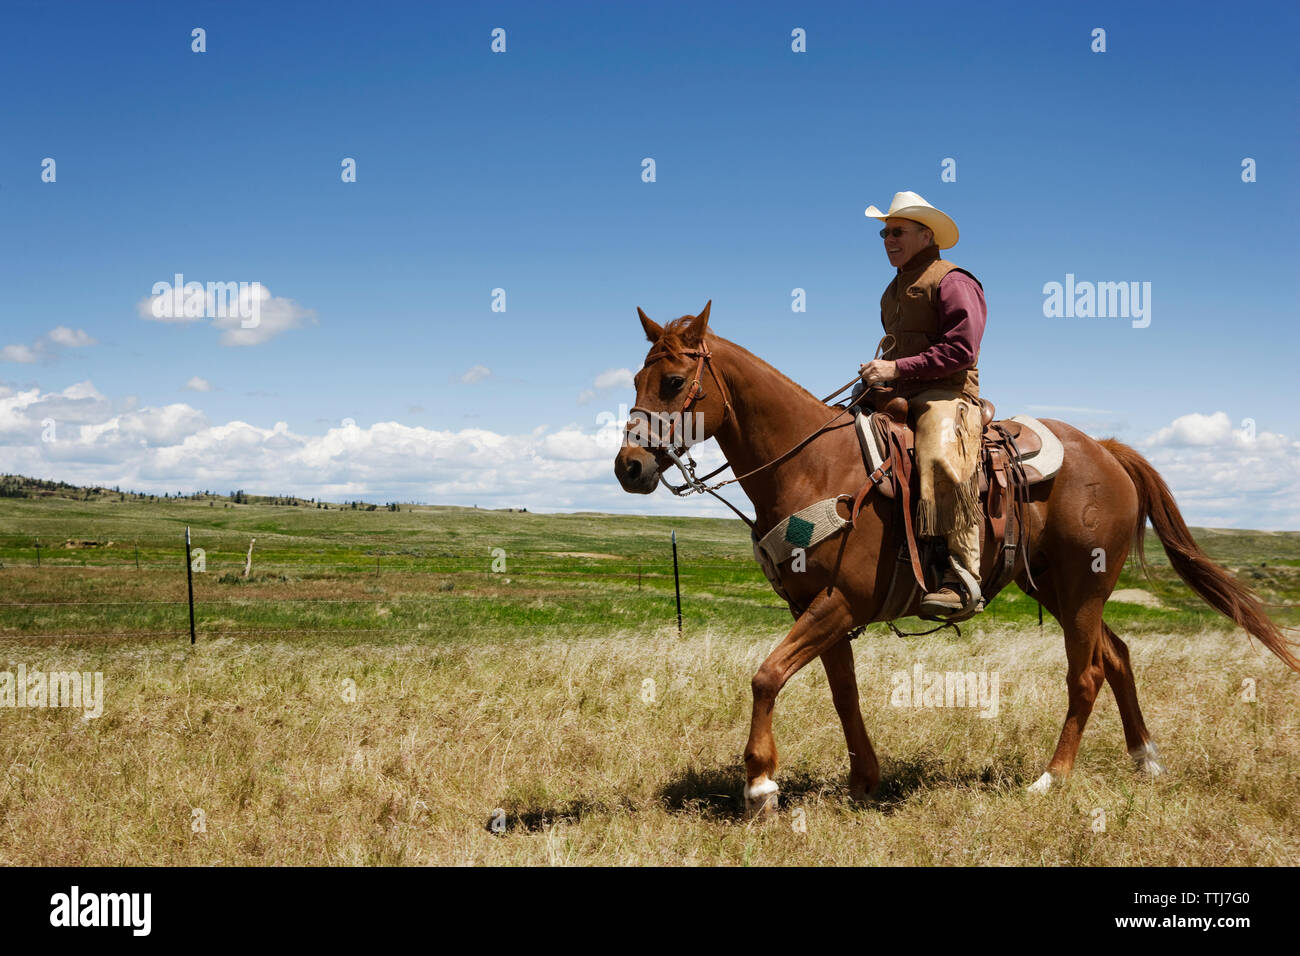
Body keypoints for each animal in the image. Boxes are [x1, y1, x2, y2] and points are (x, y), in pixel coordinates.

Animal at [613, 301, 1300, 816]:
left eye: (672, 382)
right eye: (635, 382)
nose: (629, 468)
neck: (809, 465)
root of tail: (1106, 449)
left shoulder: (841, 603)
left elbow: (767, 675)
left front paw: (760, 785)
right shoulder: (815, 607)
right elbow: (842, 693)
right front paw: (864, 781)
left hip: (1081, 589)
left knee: (1086, 675)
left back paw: (1053, 778)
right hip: (1056, 589)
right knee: (1119, 658)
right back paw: (1146, 761)